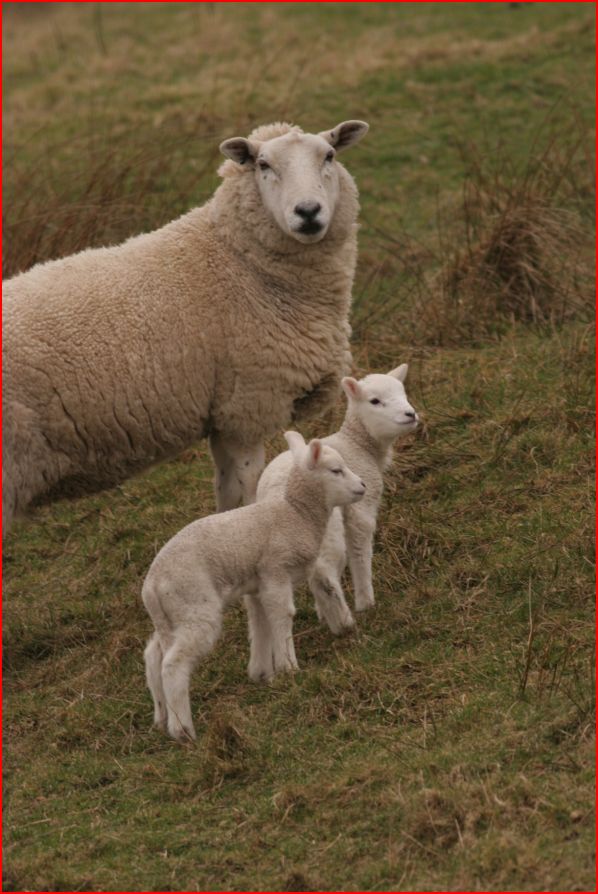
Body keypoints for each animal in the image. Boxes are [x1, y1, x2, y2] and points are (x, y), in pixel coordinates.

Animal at [2, 119, 369, 535]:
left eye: (329, 155)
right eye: (262, 164)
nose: (308, 212)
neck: (236, 259)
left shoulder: (222, 415)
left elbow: (227, 497)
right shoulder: (246, 406)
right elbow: (246, 496)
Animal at [142, 431, 366, 741]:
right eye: (336, 470)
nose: (362, 486)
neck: (295, 513)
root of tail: (152, 585)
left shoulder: (258, 583)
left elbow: (261, 623)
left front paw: (263, 673)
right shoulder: (275, 569)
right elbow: (282, 615)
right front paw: (289, 668)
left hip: (171, 615)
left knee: (153, 655)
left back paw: (161, 717)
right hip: (194, 604)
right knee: (172, 664)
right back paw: (182, 729)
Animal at [252, 364, 418, 640]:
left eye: (404, 393)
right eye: (375, 401)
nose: (411, 414)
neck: (356, 443)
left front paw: (322, 611)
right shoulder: (362, 506)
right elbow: (360, 551)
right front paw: (366, 602)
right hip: (327, 531)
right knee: (326, 570)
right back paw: (343, 622)